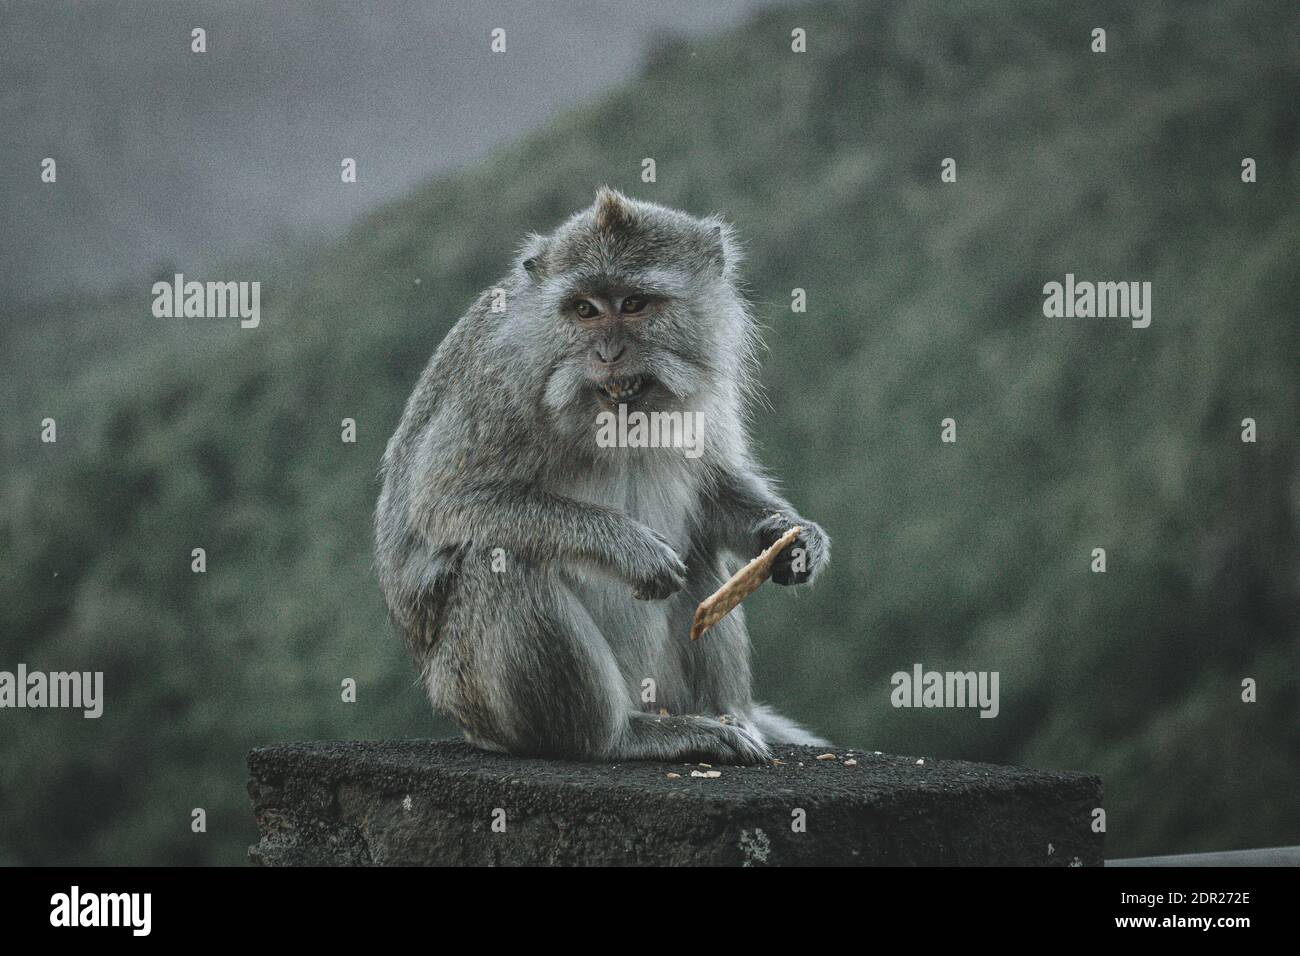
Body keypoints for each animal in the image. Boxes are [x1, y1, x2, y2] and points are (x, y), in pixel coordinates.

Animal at [375, 187, 830, 765]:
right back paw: (618, 737)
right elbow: (445, 505)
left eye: (633, 304)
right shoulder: (498, 385)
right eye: (585, 310)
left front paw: (794, 537)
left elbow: (712, 490)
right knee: (501, 559)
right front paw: (626, 545)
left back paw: (725, 715)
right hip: (473, 699)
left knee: (699, 553)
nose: (608, 353)